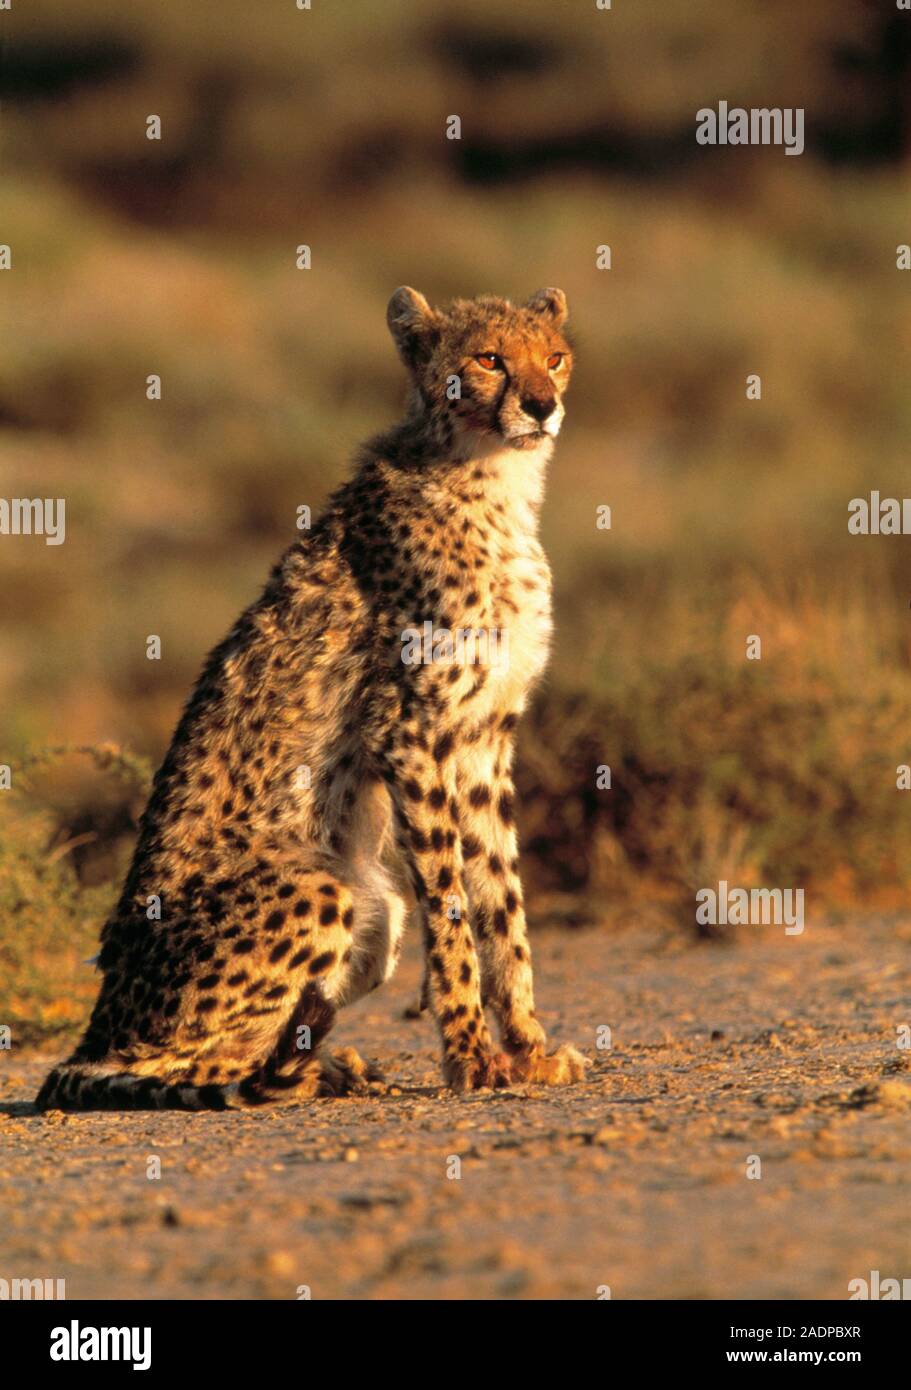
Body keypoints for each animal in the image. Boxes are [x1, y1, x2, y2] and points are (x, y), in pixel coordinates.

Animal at [35, 285, 588, 1111]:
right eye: (488, 358)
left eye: (552, 356)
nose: (541, 405)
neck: (489, 478)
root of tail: (98, 1024)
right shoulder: (409, 734)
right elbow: (453, 911)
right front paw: (471, 1059)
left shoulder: (486, 739)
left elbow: (503, 904)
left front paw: (527, 1051)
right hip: (320, 888)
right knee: (162, 1065)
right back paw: (292, 1078)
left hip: (376, 912)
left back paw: (324, 1070)